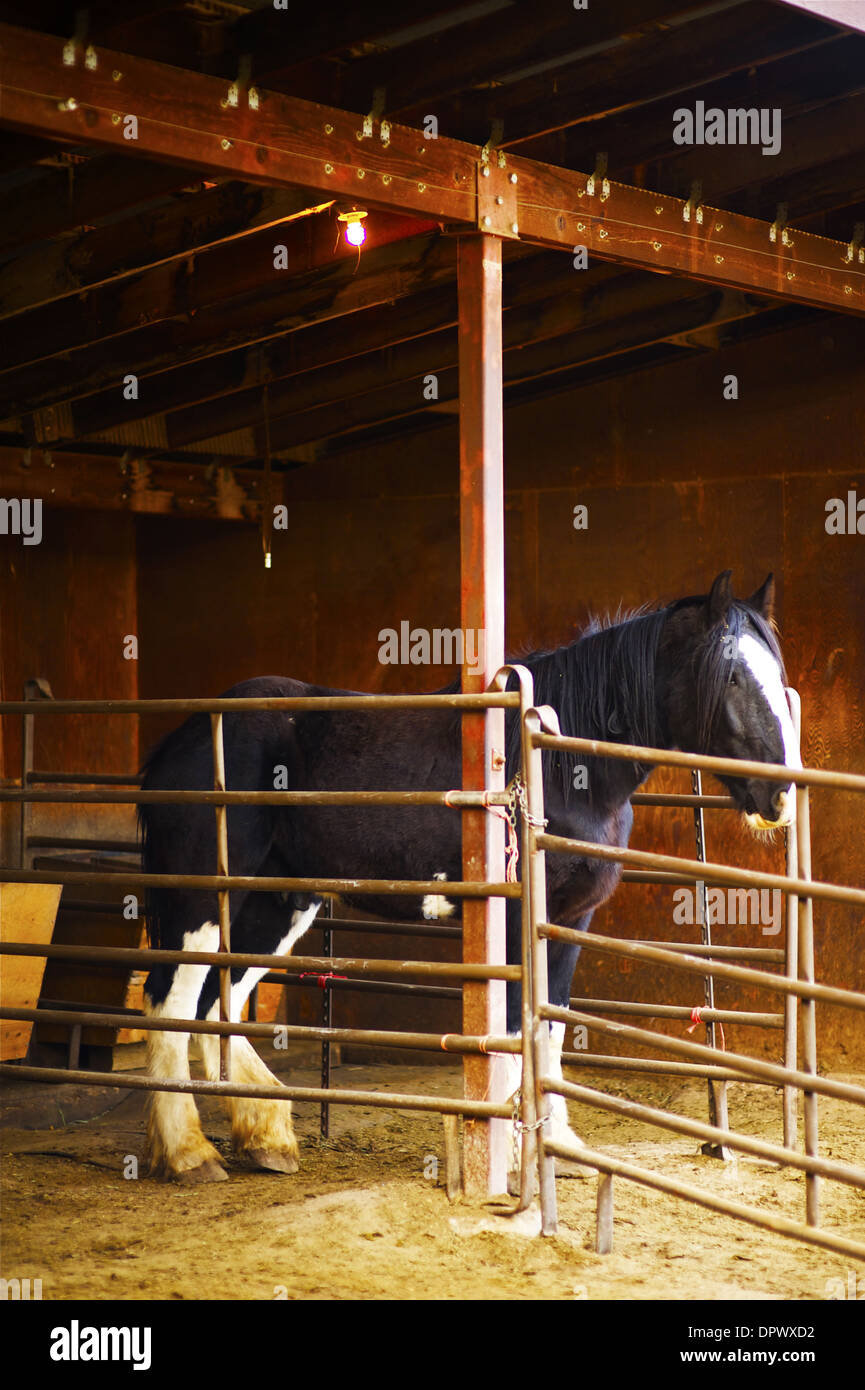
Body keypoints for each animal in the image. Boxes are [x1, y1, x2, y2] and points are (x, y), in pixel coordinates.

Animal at [139, 570, 800, 1183]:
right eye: (732, 675)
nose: (780, 796)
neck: (558, 767)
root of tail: (181, 740)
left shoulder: (569, 920)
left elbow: (549, 1029)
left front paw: (560, 1146)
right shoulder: (514, 922)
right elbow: (511, 1030)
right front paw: (508, 1155)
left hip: (274, 905)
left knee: (214, 1003)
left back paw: (264, 1139)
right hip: (202, 901)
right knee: (171, 1001)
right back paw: (190, 1153)